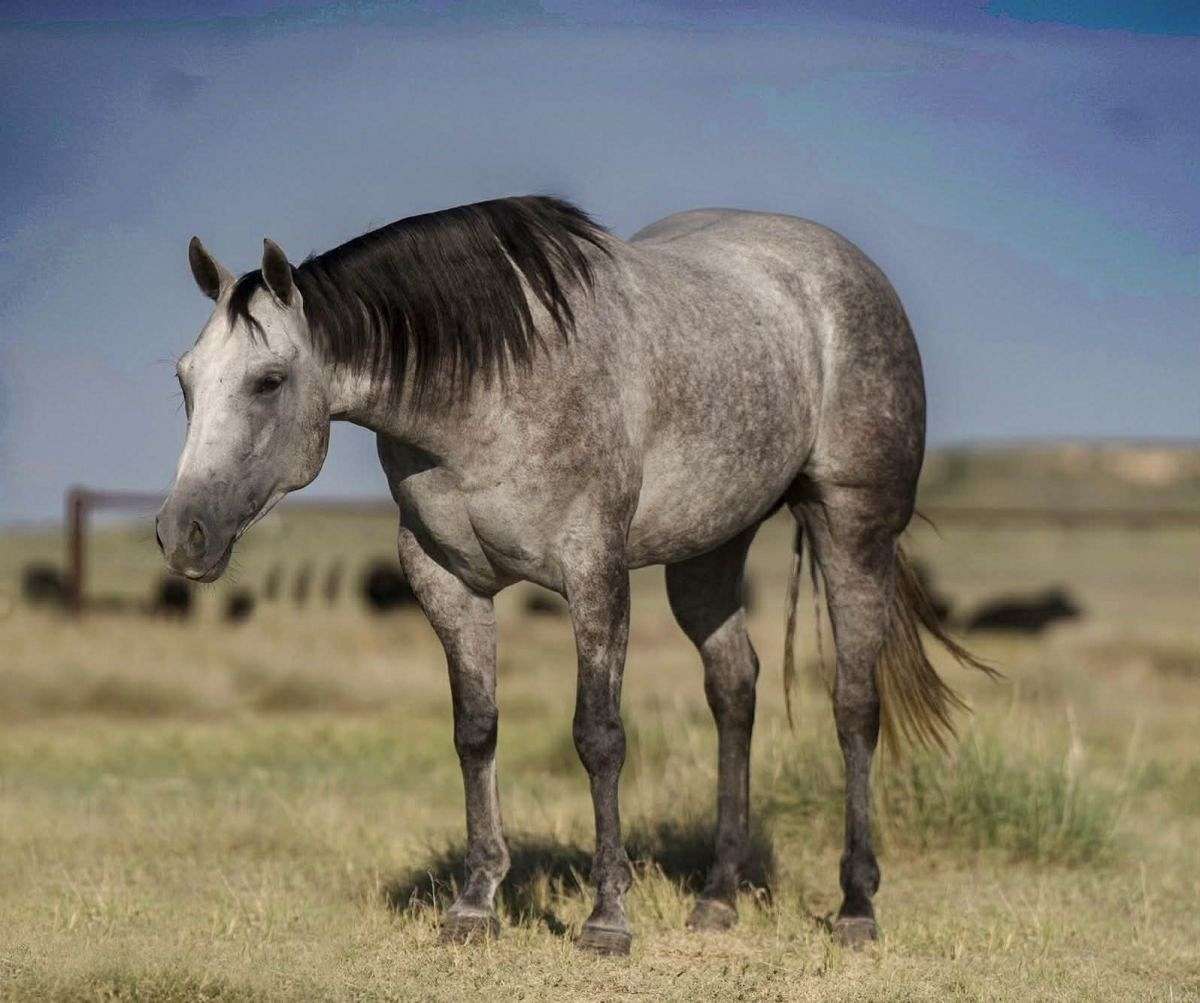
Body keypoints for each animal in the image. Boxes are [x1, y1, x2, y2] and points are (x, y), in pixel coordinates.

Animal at [156, 196, 991, 954]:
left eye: (268, 380)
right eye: (185, 379)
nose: (181, 533)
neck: (488, 386)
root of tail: (847, 270)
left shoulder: (593, 571)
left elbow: (599, 736)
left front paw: (607, 918)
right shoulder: (445, 580)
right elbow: (475, 731)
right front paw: (475, 904)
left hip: (851, 529)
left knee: (854, 704)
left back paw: (857, 906)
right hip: (708, 550)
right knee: (734, 689)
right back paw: (718, 895)